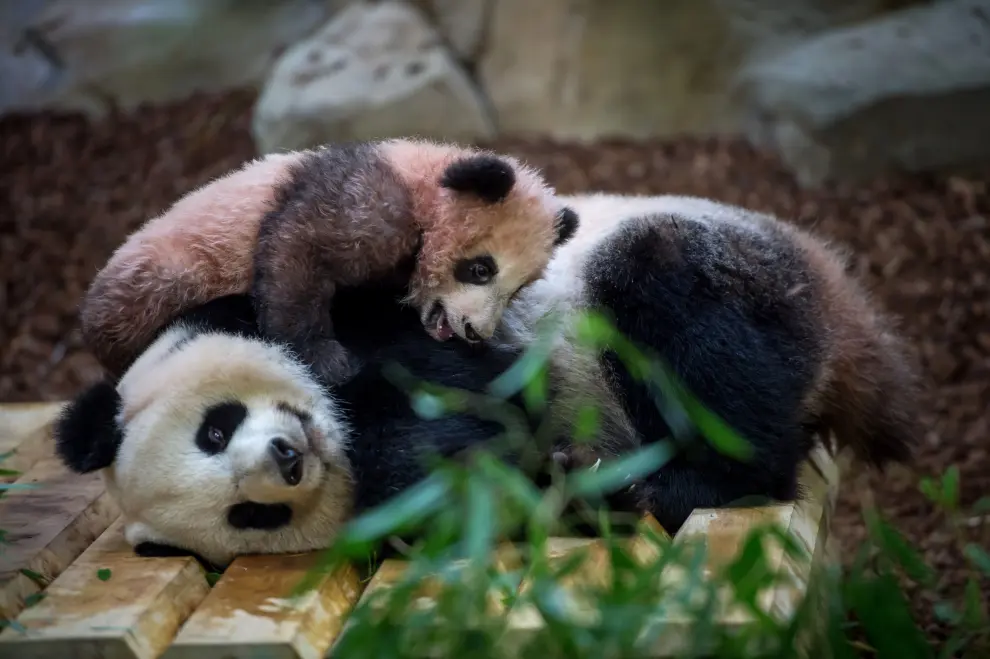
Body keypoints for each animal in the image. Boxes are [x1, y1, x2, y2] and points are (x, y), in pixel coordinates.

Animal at [79, 139, 580, 385]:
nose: (476, 332)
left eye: (516, 291)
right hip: (164, 268)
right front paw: (327, 361)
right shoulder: (366, 199)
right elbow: (296, 252)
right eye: (480, 269)